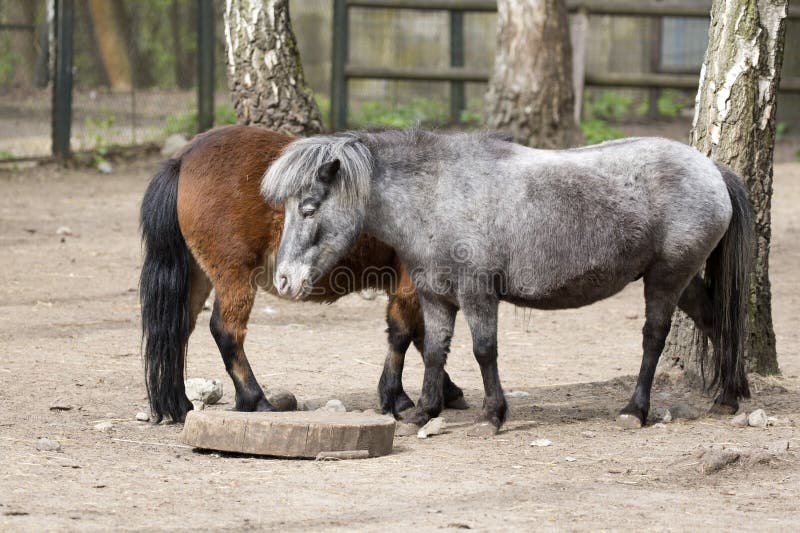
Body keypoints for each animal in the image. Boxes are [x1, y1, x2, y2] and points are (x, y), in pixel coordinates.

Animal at [138, 125, 468, 423]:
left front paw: (446, 390)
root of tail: (183, 159)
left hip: (199, 278)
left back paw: (181, 405)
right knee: (226, 331)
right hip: (234, 277)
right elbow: (403, 334)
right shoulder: (409, 282)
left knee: (178, 330)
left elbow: (424, 337)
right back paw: (256, 400)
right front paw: (396, 398)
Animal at [264, 127, 752, 435]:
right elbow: (435, 351)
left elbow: (484, 352)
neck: (437, 195)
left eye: (308, 207)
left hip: (667, 278)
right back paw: (729, 396)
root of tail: (713, 170)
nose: (284, 280)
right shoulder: (435, 297)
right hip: (683, 280)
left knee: (654, 337)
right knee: (716, 322)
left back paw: (636, 409)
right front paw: (424, 412)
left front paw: (491, 416)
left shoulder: (478, 294)